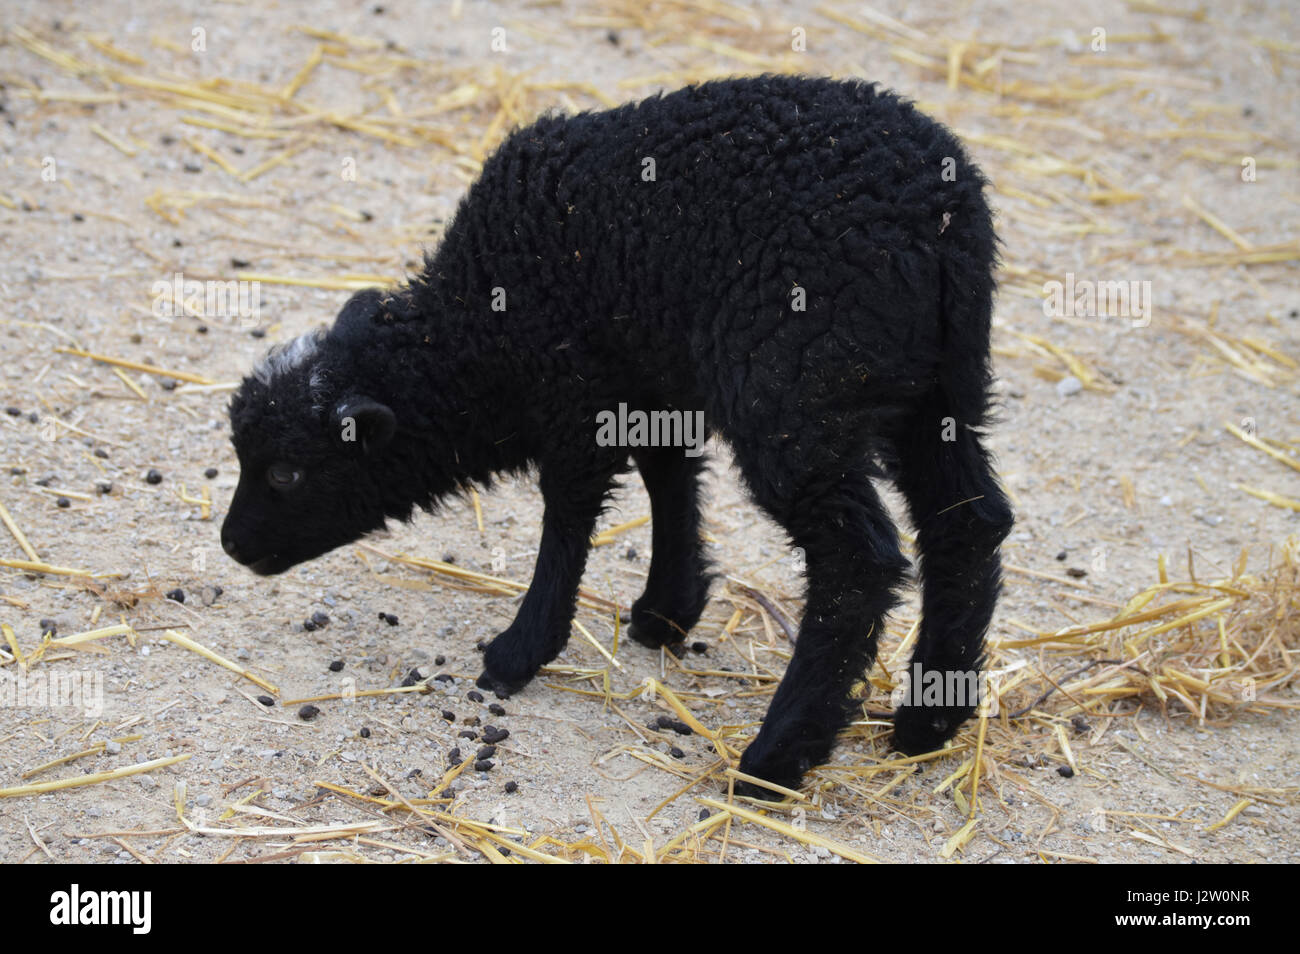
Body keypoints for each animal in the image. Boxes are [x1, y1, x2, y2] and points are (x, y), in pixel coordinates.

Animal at [221, 74, 1013, 795]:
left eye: (288, 471)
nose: (231, 544)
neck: (476, 329)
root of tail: (938, 220)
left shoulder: (571, 387)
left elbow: (570, 515)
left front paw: (520, 651)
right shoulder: (646, 376)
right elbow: (669, 476)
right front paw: (668, 608)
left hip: (794, 384)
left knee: (858, 562)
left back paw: (777, 757)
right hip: (941, 387)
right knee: (969, 523)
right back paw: (930, 719)